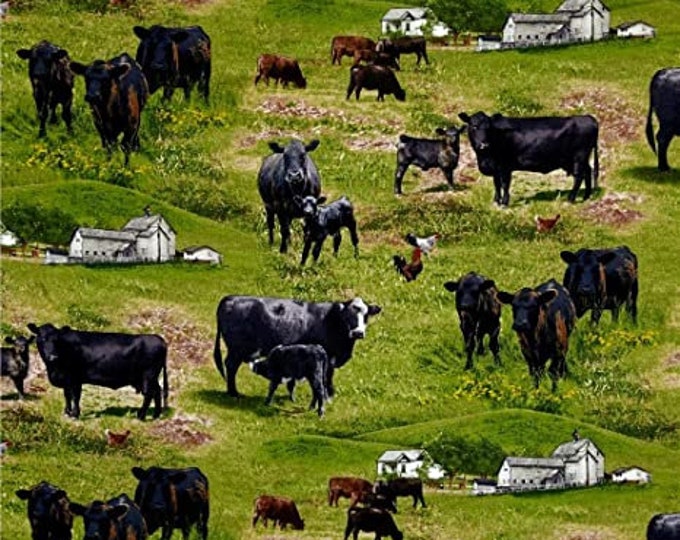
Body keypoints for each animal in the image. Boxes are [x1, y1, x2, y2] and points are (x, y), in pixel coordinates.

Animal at [26, 323, 168, 420]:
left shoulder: (75, 378)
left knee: (149, 393)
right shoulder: (66, 379)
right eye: (42, 339)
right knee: (157, 391)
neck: (54, 369)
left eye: (57, 340)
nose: (53, 357)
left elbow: (75, 396)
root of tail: (159, 339)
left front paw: (75, 414)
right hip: (151, 377)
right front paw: (67, 412)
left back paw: (141, 416)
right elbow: (67, 395)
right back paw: (156, 415)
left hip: (148, 375)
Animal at [214, 295, 381, 398]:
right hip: (237, 349)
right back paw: (233, 392)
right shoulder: (327, 355)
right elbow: (327, 375)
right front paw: (328, 393)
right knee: (230, 366)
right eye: (347, 316)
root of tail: (231, 298)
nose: (358, 333)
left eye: (366, 316)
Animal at [458, 111, 599, 206]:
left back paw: (570, 199)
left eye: (489, 128)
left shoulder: (505, 166)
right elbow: (496, 184)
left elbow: (505, 184)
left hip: (579, 157)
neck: (484, 157)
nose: (484, 144)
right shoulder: (495, 168)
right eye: (474, 126)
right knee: (588, 171)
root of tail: (588, 117)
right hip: (579, 159)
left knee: (579, 176)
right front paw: (496, 201)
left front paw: (504, 203)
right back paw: (586, 196)